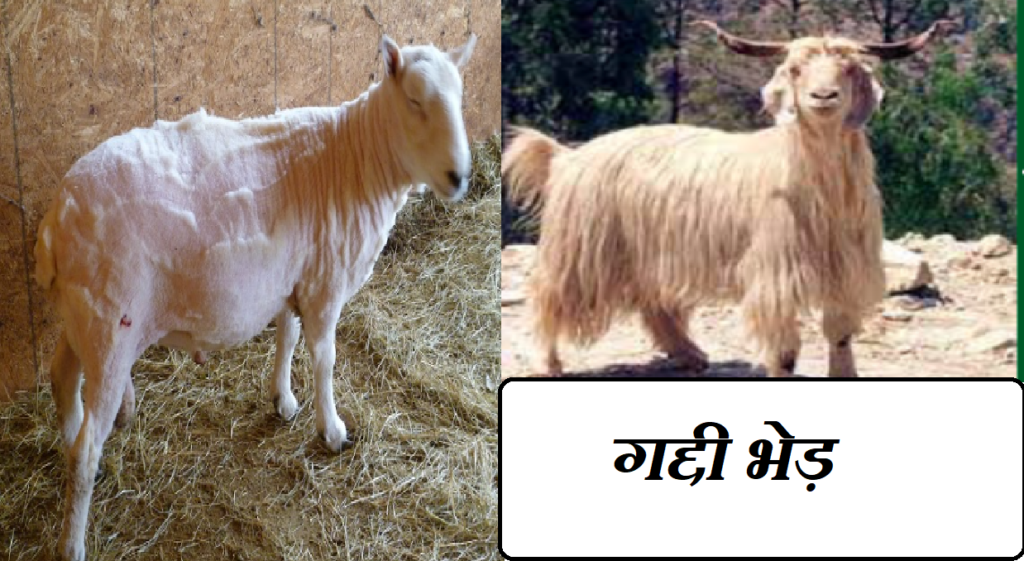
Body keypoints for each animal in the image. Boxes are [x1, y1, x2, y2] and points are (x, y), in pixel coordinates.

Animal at [34, 33, 476, 561]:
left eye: (460, 99)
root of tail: (57, 219)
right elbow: (324, 360)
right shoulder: (325, 284)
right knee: (85, 444)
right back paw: (72, 540)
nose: (460, 178)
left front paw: (283, 401)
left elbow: (287, 338)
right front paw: (332, 431)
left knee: (61, 379)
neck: (357, 159)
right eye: (414, 100)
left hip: (81, 318)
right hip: (109, 327)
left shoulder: (293, 278)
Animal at [502, 21, 951, 379]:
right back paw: (547, 364)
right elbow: (785, 351)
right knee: (548, 294)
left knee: (654, 303)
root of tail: (566, 156)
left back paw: (692, 355)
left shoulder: (845, 268)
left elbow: (839, 334)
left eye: (850, 68)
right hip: (579, 250)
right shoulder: (776, 272)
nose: (823, 97)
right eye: (795, 69)